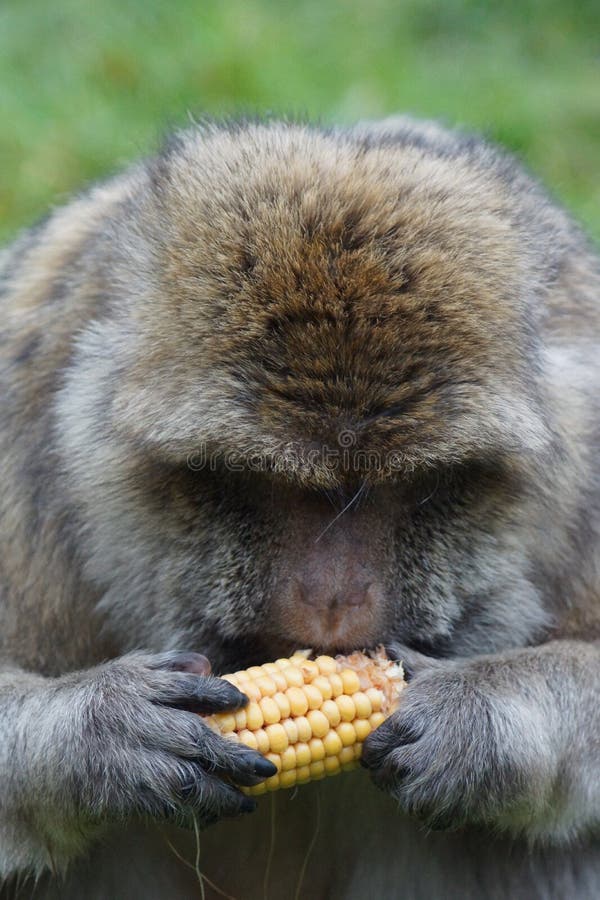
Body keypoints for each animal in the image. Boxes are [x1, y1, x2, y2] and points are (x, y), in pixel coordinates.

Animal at [1, 113, 600, 899]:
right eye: (256, 482)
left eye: (421, 488)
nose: (333, 598)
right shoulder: (23, 457)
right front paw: (100, 732)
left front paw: (478, 716)